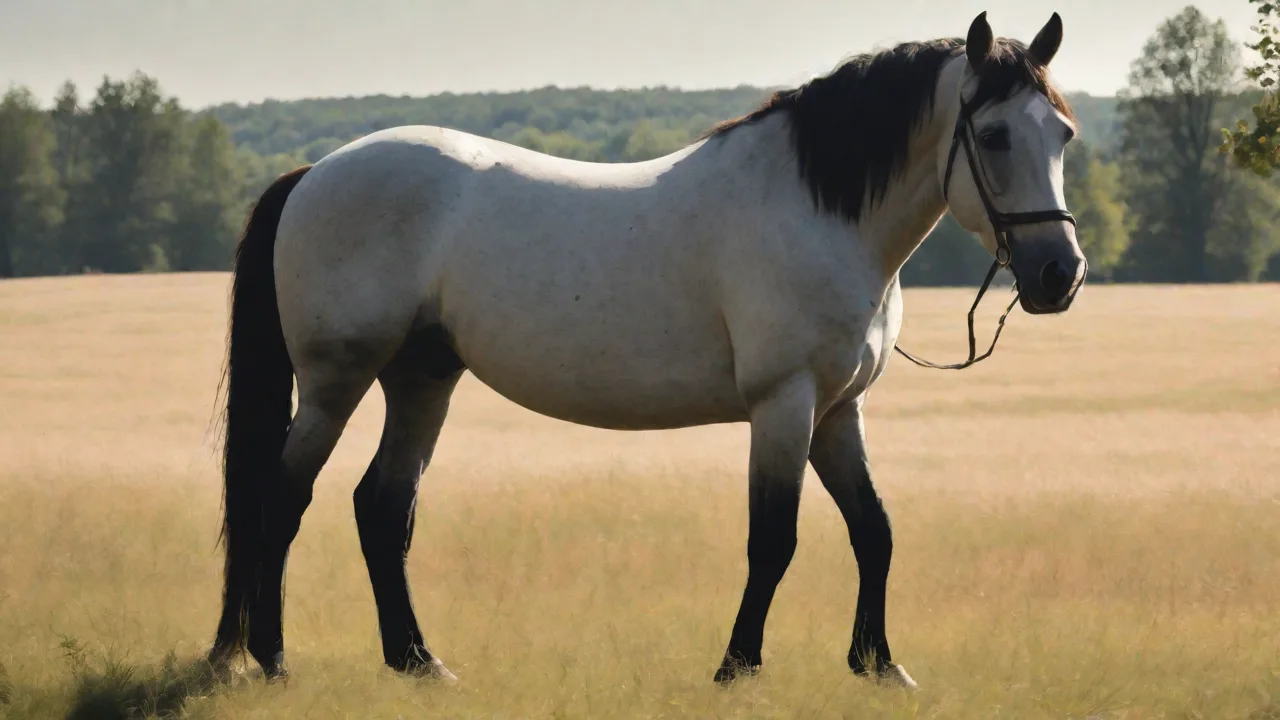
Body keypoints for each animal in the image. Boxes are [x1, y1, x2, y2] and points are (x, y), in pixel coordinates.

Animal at [207, 11, 1085, 691]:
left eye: (1065, 134)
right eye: (995, 135)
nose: (1059, 273)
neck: (818, 211)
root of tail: (313, 172)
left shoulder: (839, 410)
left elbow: (874, 530)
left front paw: (878, 666)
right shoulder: (785, 403)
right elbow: (774, 539)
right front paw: (738, 668)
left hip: (422, 380)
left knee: (382, 508)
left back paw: (419, 663)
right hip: (335, 382)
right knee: (283, 500)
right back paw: (276, 659)